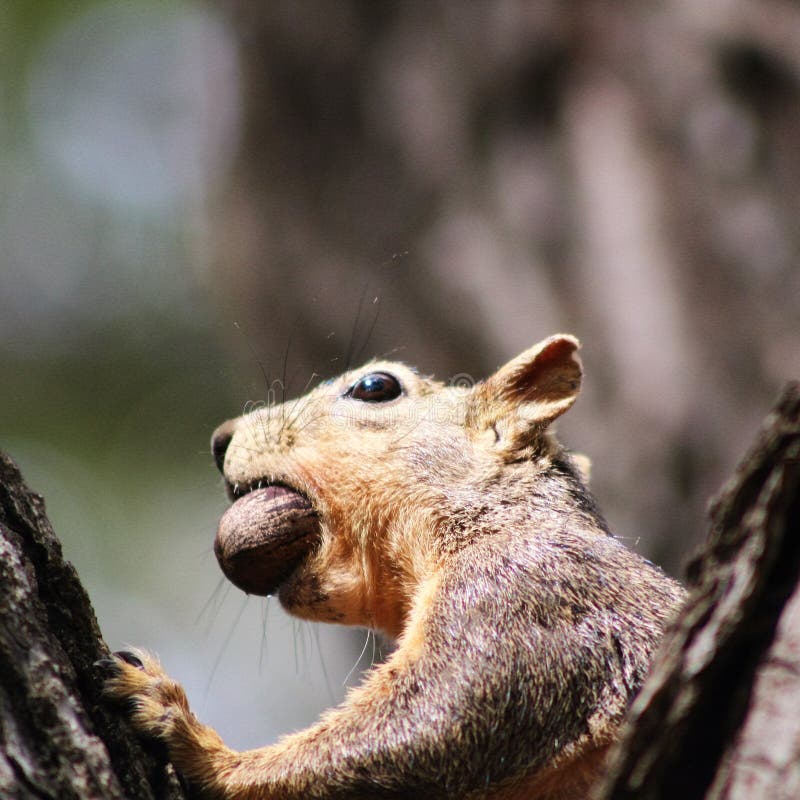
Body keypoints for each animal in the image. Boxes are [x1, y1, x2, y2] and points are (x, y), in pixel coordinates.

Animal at [103, 334, 686, 799]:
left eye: (375, 387)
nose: (219, 439)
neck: (497, 520)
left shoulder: (528, 595)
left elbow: (438, 717)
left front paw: (192, 738)